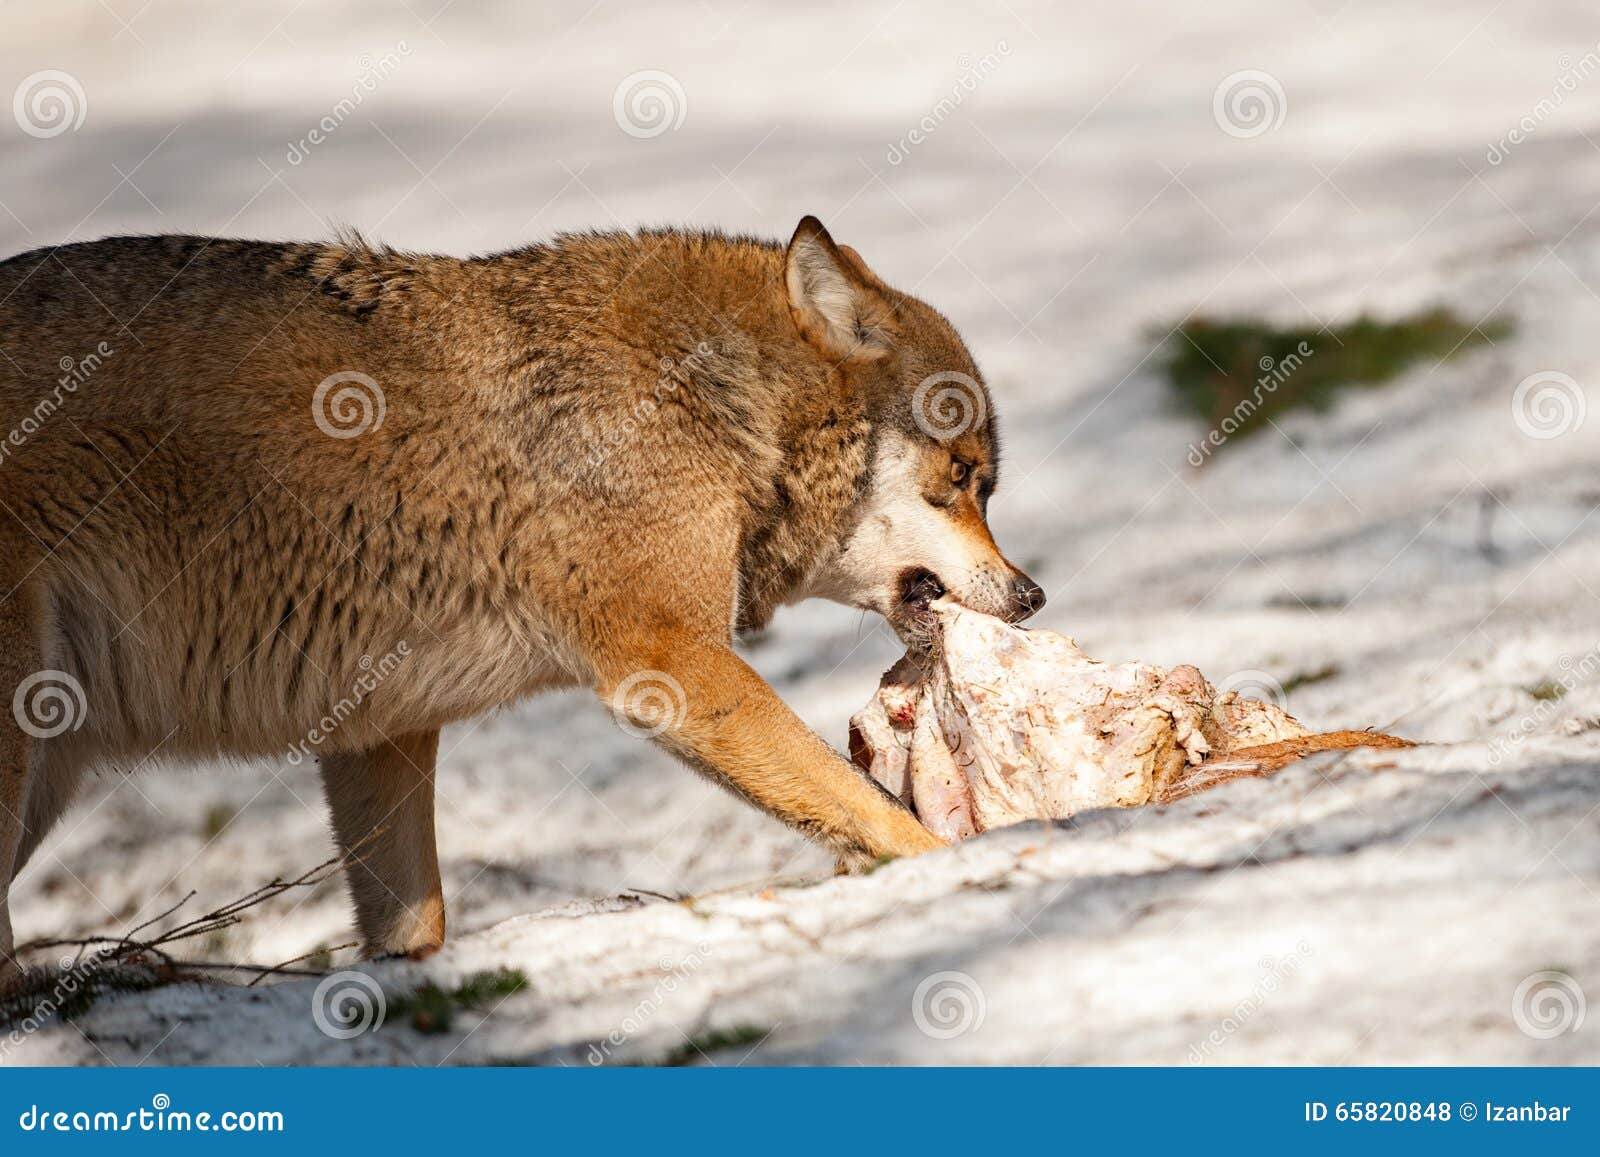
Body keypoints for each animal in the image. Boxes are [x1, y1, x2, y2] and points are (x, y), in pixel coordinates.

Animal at [0, 216, 1043, 978]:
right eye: (963, 477)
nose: (1032, 594)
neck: (713, 403)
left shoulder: (378, 731)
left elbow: (414, 927)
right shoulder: (669, 663)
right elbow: (865, 805)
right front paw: (963, 862)